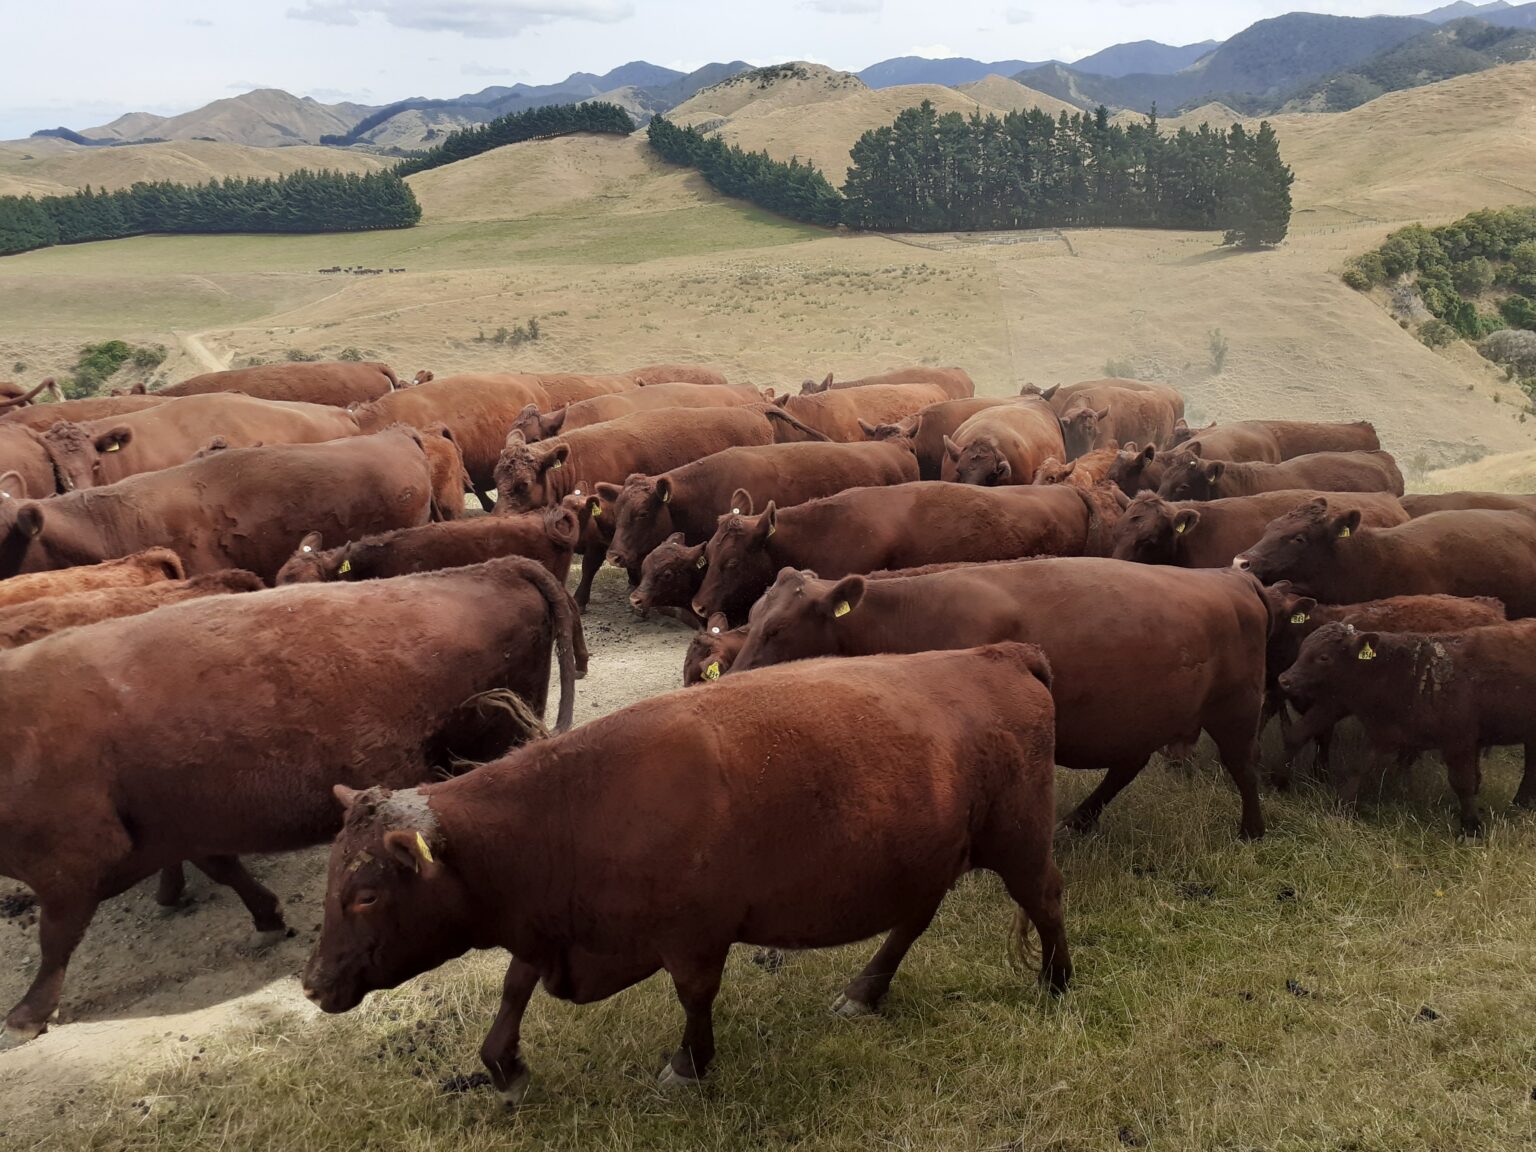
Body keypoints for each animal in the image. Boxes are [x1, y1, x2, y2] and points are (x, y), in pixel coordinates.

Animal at [300, 642, 1066, 1099]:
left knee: (1047, 899)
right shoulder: (550, 925)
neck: (572, 809)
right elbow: (515, 985)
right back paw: (865, 989)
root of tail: (996, 654)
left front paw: (687, 1065)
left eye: (364, 894)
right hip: (928, 855)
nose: (313, 984)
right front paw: (503, 1064)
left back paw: (1057, 984)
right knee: (914, 918)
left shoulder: (694, 934)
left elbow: (695, 997)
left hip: (1019, 839)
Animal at [729, 559, 1271, 840]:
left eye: (777, 629)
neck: (910, 613)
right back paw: (1079, 821)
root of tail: (1234, 577)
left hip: (1236, 709)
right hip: (1141, 717)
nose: (730, 682)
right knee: (1126, 767)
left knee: (1244, 769)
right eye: (752, 617)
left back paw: (1252, 830)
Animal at [1278, 620, 1536, 836]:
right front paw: (1341, 807)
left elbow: (1464, 783)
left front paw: (1470, 827)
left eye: (1324, 657)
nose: (1284, 679)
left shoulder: (1459, 742)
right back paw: (1521, 803)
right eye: (1302, 649)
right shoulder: (1382, 731)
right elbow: (1358, 767)